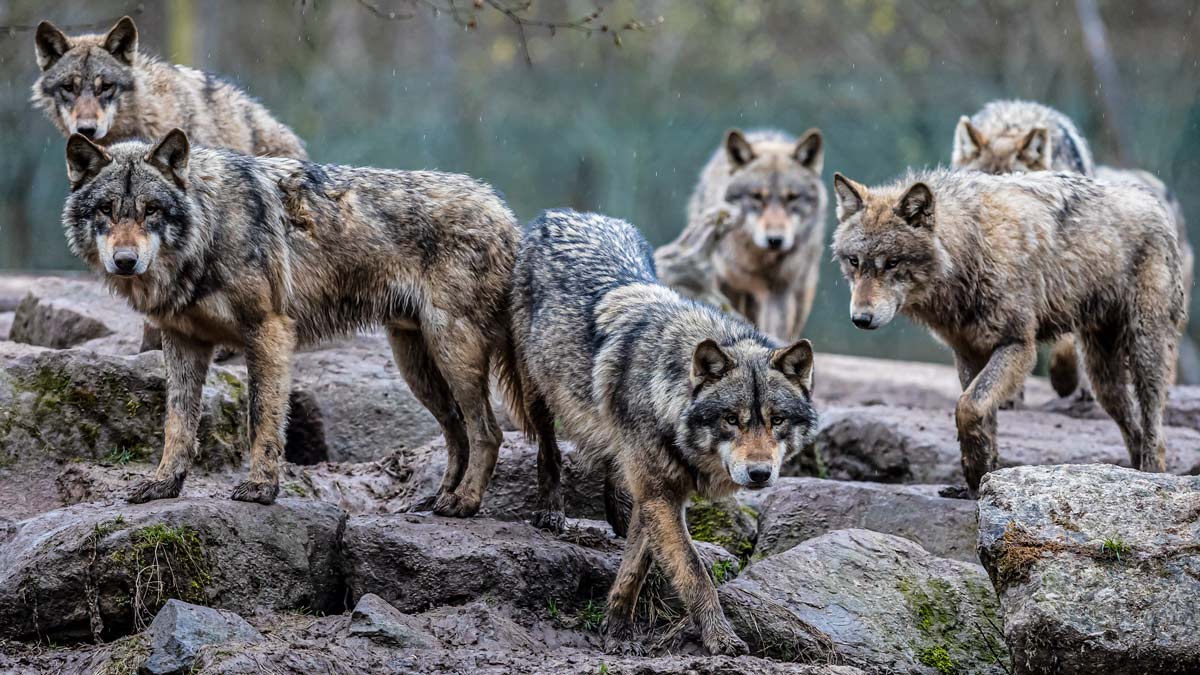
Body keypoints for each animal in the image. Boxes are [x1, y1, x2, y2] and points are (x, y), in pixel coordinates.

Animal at [62, 129, 520, 515]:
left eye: (151, 210)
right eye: (106, 210)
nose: (125, 261)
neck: (209, 229)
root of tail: (504, 211)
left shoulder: (269, 330)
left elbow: (262, 415)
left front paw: (262, 488)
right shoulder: (182, 341)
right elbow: (178, 423)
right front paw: (164, 485)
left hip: (451, 350)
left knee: (487, 431)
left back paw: (464, 502)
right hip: (415, 364)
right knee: (457, 430)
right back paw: (439, 497)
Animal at [510, 209, 818, 655]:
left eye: (776, 420)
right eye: (731, 419)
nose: (760, 474)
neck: (665, 394)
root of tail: (566, 213)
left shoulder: (659, 496)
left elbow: (636, 566)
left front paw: (616, 628)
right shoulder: (661, 495)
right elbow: (694, 572)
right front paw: (719, 637)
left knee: (615, 470)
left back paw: (617, 515)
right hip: (537, 391)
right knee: (548, 449)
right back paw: (551, 510)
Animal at [684, 128, 826, 341]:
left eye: (792, 198)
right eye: (757, 196)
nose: (775, 239)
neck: (759, 262)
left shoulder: (779, 292)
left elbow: (776, 329)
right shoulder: (727, 285)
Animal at [831, 168, 1184, 495]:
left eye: (892, 263)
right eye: (855, 261)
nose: (860, 318)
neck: (972, 249)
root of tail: (1154, 200)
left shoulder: (1018, 347)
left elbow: (969, 406)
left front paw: (977, 473)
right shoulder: (968, 352)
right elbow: (981, 416)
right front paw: (979, 481)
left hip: (1144, 352)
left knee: (1155, 429)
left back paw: (1152, 477)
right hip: (1103, 379)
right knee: (1133, 428)